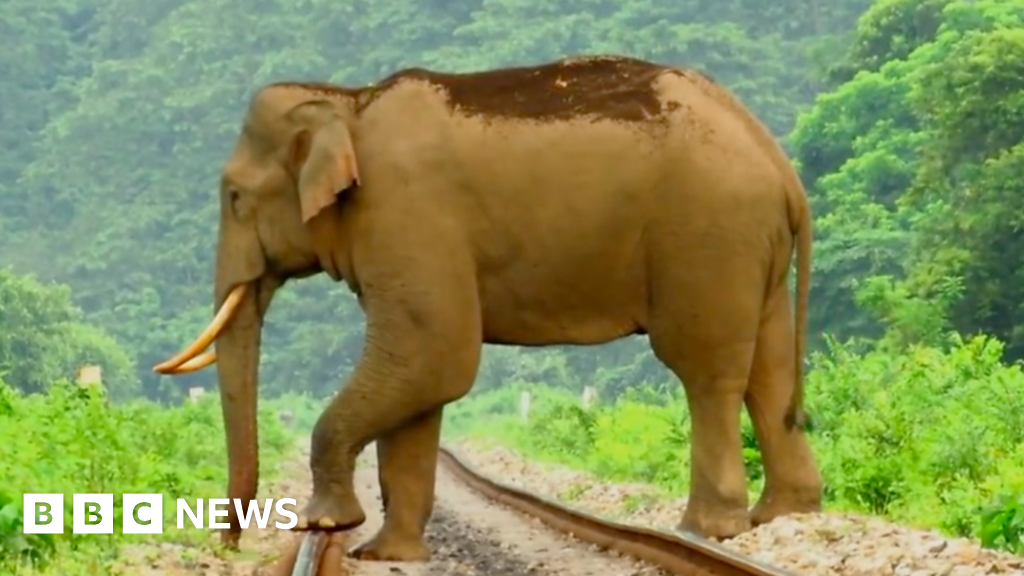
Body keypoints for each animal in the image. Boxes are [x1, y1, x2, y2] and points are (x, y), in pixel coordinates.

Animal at [153, 54, 823, 562]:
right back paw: (785, 514)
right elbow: (420, 385)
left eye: (234, 198)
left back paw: (705, 530)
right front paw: (386, 554)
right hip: (751, 246)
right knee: (769, 369)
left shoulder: (408, 212)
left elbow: (434, 358)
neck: (349, 101)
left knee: (705, 369)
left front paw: (325, 525)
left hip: (708, 236)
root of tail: (781, 166)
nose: (226, 545)